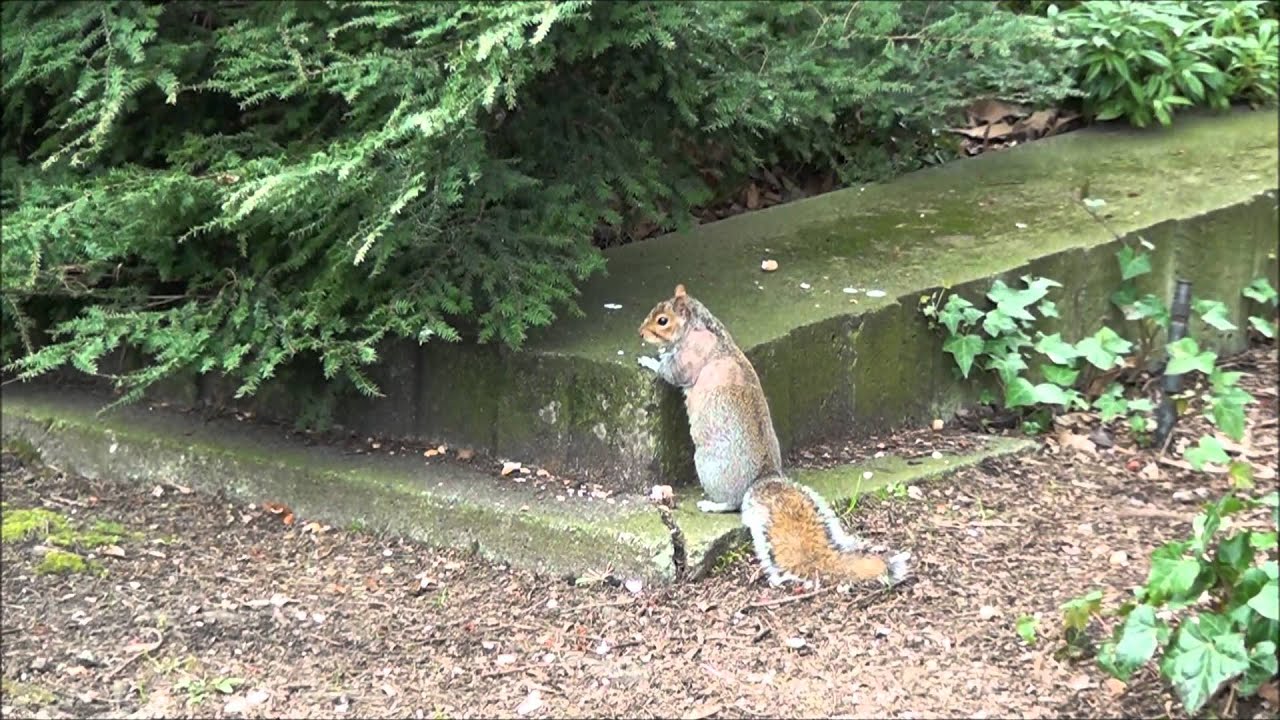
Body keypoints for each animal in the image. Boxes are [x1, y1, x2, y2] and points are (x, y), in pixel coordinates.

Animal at [638, 283, 910, 587]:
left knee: (732, 504)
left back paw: (711, 505)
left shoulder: (689, 357)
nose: (640, 333)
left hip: (708, 466)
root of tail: (762, 478)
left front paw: (649, 359)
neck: (702, 326)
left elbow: (671, 372)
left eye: (663, 320)